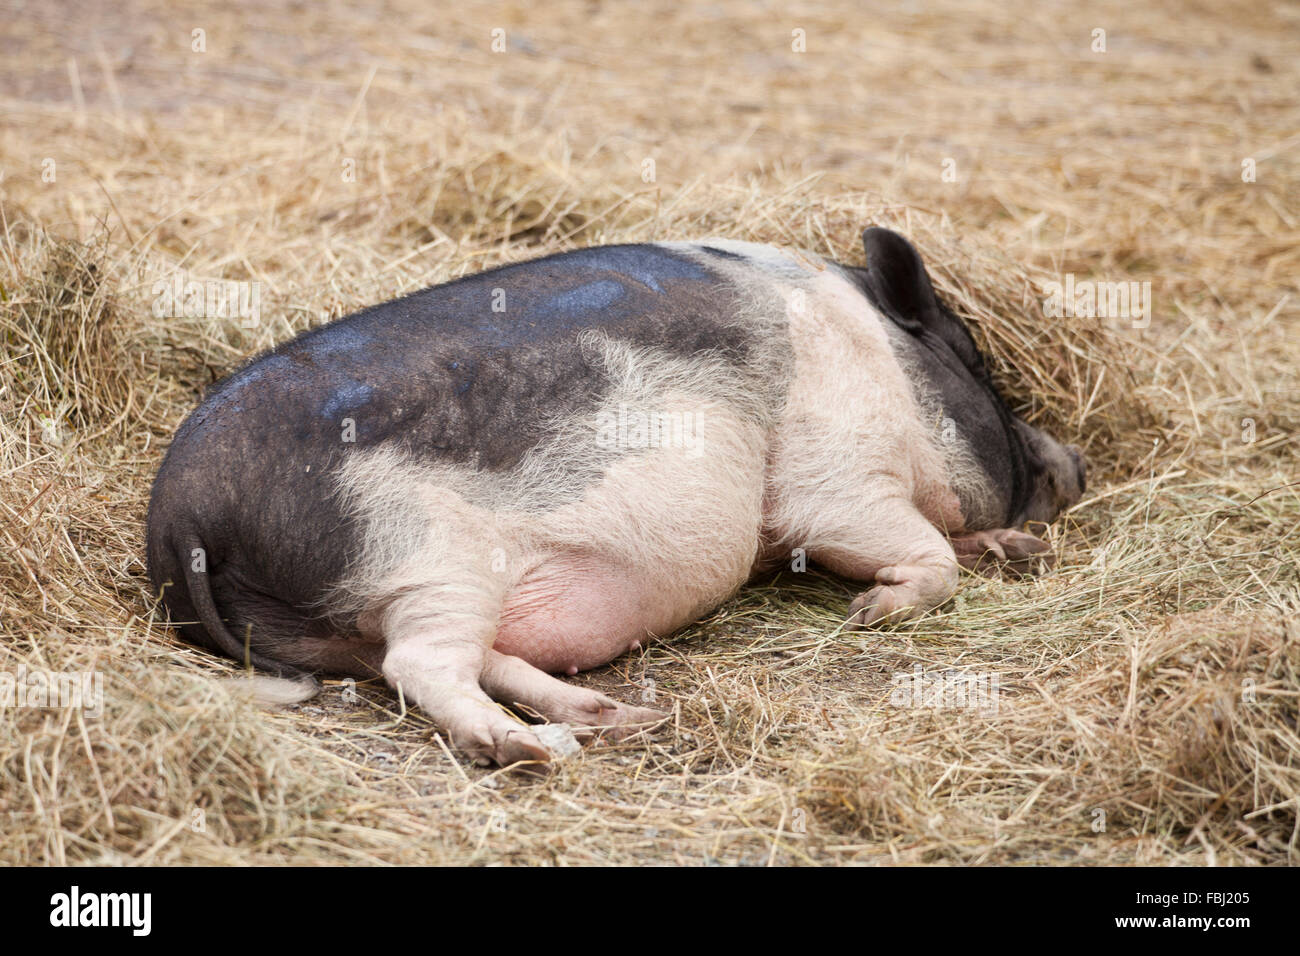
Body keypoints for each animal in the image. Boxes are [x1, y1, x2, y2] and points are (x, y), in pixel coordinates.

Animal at [146, 227, 1086, 767]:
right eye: (977, 360)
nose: (1074, 461)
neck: (878, 350)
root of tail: (179, 519)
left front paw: (1014, 551)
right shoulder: (838, 483)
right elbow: (915, 551)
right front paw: (871, 615)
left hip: (376, 609)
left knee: (444, 660)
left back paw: (619, 720)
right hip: (422, 559)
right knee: (423, 665)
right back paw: (531, 753)